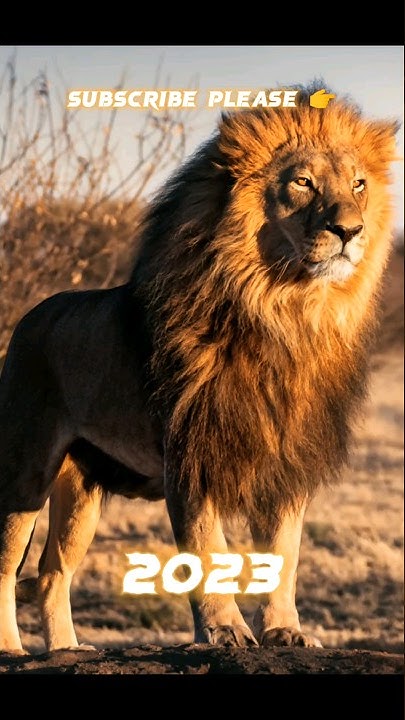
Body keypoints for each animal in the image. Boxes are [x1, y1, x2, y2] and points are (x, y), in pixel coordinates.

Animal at [0, 83, 399, 653]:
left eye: (359, 184)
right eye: (302, 182)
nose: (349, 230)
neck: (285, 311)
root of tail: (29, 317)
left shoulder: (287, 460)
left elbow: (284, 553)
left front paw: (285, 631)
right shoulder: (191, 454)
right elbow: (207, 550)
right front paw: (224, 631)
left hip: (81, 490)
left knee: (53, 573)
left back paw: (67, 650)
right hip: (25, 471)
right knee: (7, 565)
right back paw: (12, 649)